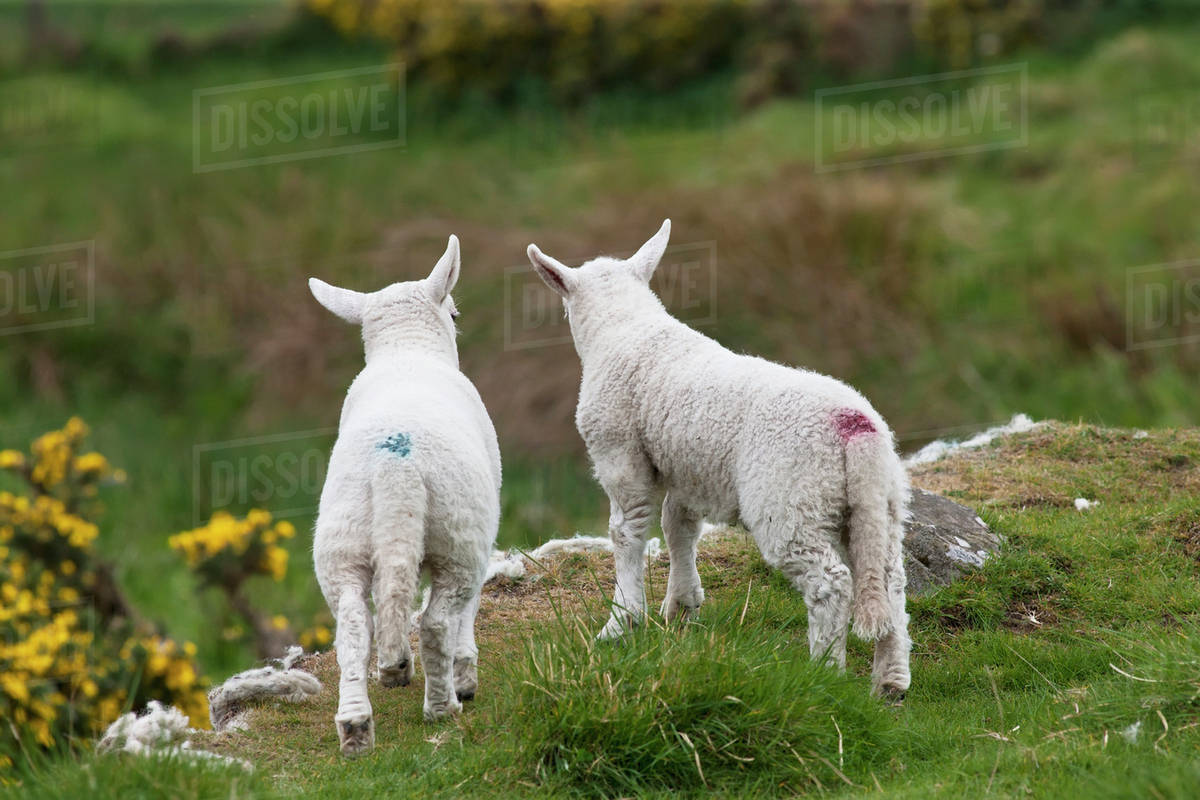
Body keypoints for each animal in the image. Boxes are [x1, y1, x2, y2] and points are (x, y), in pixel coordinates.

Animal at [308, 235, 502, 755]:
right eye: (454, 312)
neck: (405, 350)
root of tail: (397, 464)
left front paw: (395, 671)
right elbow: (466, 612)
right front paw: (464, 675)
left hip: (342, 540)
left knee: (355, 624)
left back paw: (356, 726)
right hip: (459, 536)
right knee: (437, 620)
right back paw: (444, 706)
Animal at [525, 221, 911, 698]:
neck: (626, 331)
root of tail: (855, 428)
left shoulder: (621, 454)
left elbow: (627, 532)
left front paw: (622, 622)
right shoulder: (690, 466)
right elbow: (679, 526)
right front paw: (682, 604)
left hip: (790, 500)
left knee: (831, 583)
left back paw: (823, 673)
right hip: (876, 504)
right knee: (891, 579)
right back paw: (891, 681)